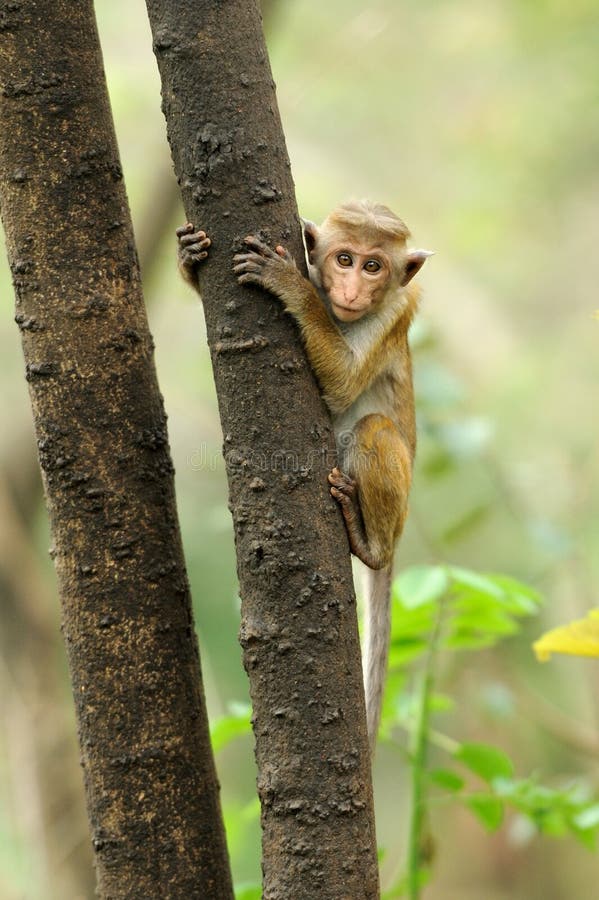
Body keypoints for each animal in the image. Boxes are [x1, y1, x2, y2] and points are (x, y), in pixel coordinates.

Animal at [177, 201, 432, 753]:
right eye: (344, 259)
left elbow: (343, 385)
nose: (353, 289)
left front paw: (290, 286)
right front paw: (188, 257)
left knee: (374, 427)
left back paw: (369, 545)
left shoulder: (393, 314)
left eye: (374, 266)